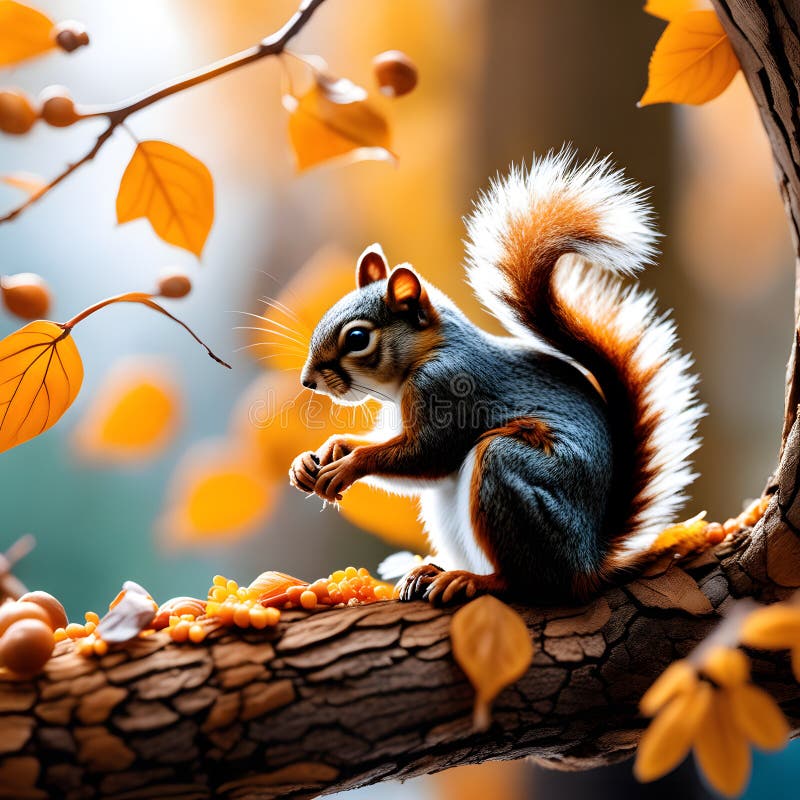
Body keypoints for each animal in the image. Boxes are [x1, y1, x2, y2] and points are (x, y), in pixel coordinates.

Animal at [289, 149, 703, 605]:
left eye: (358, 338)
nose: (308, 381)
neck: (420, 361)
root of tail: (587, 561)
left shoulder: (449, 389)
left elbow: (427, 454)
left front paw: (348, 465)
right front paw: (322, 454)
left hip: (507, 474)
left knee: (531, 581)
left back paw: (474, 580)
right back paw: (432, 571)